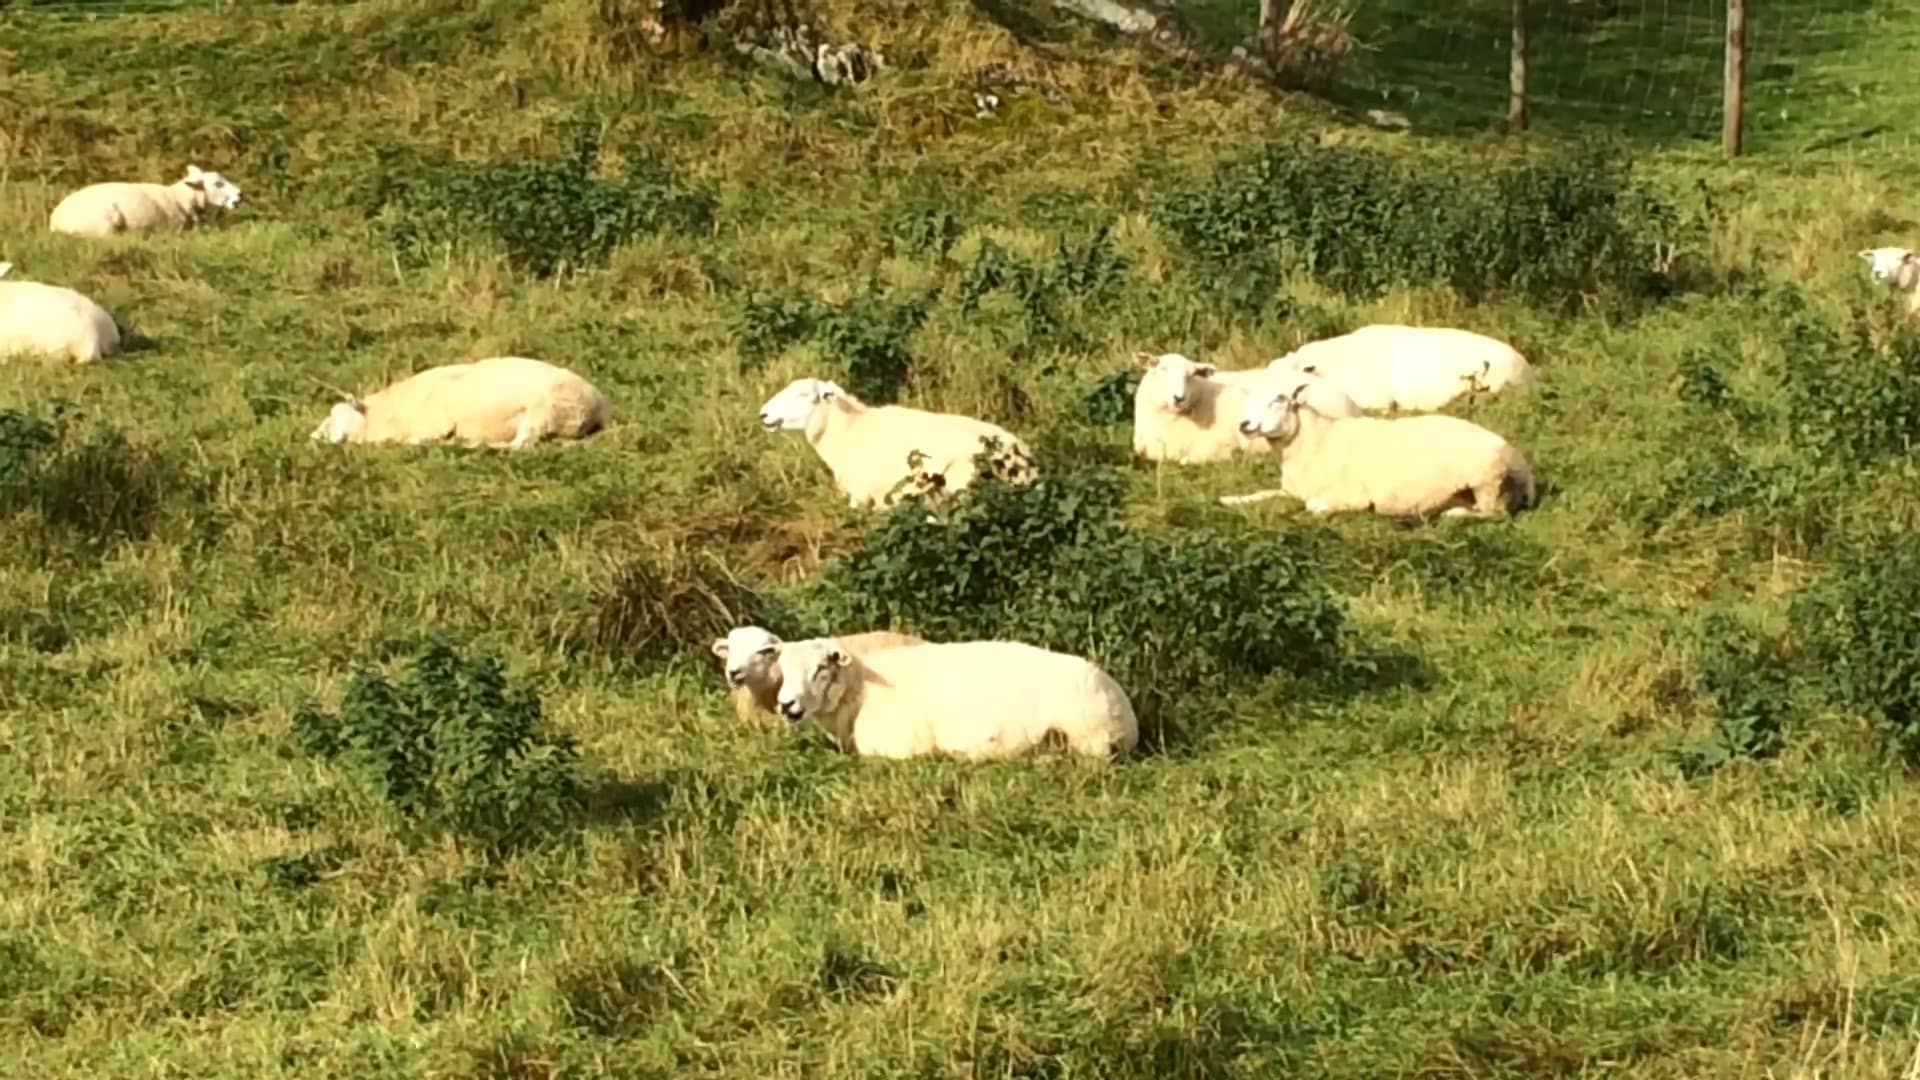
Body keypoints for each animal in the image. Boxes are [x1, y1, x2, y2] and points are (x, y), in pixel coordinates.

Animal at [308, 356, 612, 449]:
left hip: (542, 411)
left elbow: (416, 442)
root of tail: (602, 406)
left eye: (337, 416)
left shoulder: (434, 425)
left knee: (521, 445)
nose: (314, 437)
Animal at [1221, 373, 1536, 519]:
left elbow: (1313, 506)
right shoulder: (1290, 490)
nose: (1245, 425)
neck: (1317, 440)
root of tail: (1520, 461)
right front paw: (1229, 499)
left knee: (1494, 513)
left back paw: (1453, 515)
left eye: (1279, 399)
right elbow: (1260, 493)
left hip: (1487, 481)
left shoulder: (1350, 496)